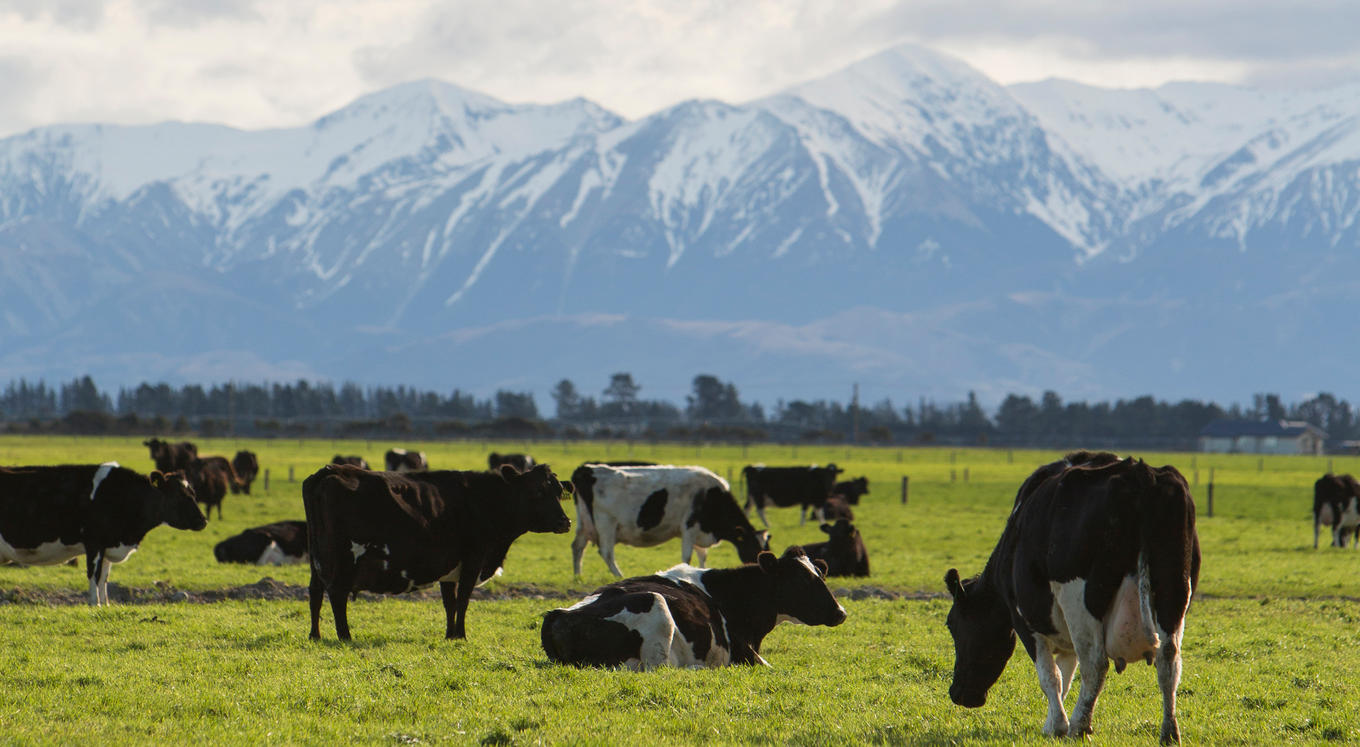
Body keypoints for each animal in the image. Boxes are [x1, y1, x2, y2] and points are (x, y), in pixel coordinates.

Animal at [0, 464, 206, 605]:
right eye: (179, 495)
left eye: (194, 493)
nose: (203, 521)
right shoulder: (94, 543)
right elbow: (94, 574)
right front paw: (94, 604)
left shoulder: (108, 545)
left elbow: (104, 577)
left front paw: (105, 604)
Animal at [303, 463, 573, 641]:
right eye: (538, 491)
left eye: (559, 492)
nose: (565, 522)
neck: (486, 500)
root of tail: (331, 470)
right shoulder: (474, 556)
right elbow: (463, 599)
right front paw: (461, 636)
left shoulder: (449, 565)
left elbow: (449, 602)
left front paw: (449, 634)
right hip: (344, 558)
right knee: (337, 594)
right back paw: (345, 636)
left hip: (317, 560)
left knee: (315, 593)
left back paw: (315, 635)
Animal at [541, 546, 846, 669]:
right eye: (801, 579)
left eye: (821, 575)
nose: (841, 612)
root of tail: (560, 614)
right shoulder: (745, 653)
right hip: (655, 605)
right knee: (660, 669)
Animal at [570, 464, 770, 578]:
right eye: (754, 547)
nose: (761, 566)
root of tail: (586, 469)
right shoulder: (689, 527)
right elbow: (687, 556)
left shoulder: (700, 532)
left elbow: (702, 555)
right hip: (606, 522)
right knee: (606, 552)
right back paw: (619, 576)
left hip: (584, 523)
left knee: (577, 546)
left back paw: (578, 576)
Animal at [943, 451, 1200, 744]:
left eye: (953, 626)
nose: (958, 693)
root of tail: (1142, 472)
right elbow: (1065, 673)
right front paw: (1052, 723)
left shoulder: (1025, 621)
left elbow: (1050, 676)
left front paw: (1057, 725)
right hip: (1174, 589)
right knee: (1168, 660)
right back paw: (1169, 732)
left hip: (1081, 599)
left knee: (1096, 664)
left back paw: (1080, 726)